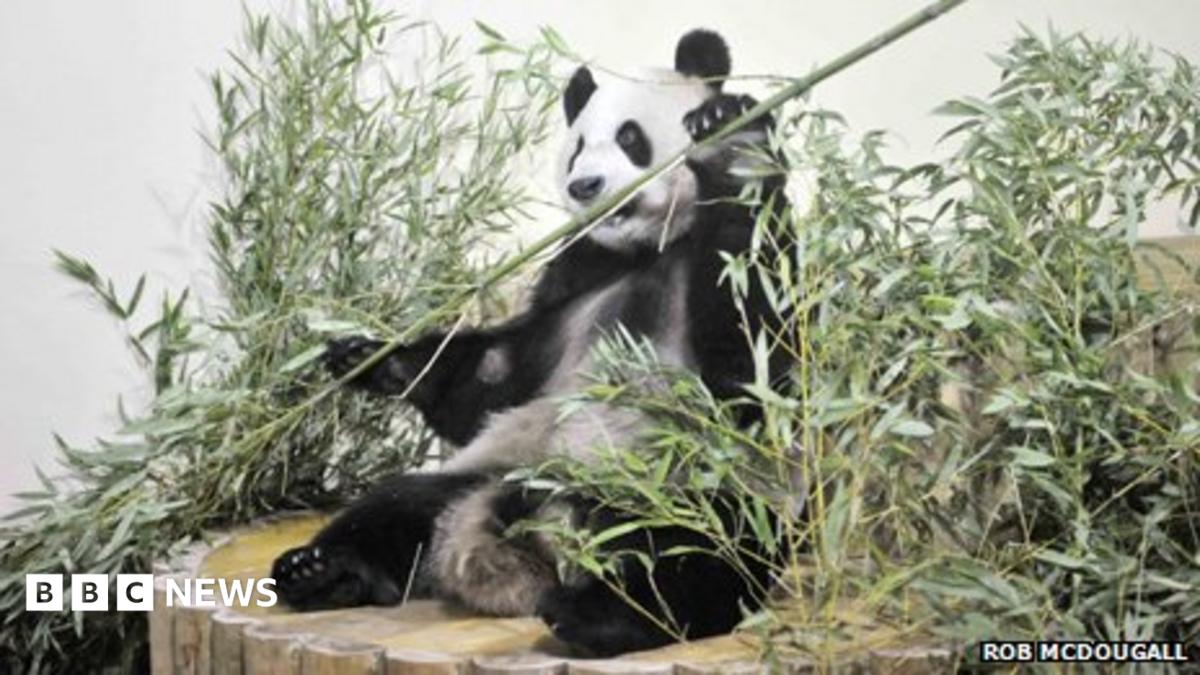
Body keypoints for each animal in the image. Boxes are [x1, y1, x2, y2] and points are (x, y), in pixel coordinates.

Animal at [271, 28, 791, 656]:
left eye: (630, 137)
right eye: (578, 146)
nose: (584, 186)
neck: (648, 248)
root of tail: (546, 521)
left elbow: (752, 357)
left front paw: (731, 140)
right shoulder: (574, 280)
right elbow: (492, 380)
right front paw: (371, 358)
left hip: (688, 487)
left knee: (696, 550)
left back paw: (601, 615)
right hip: (493, 468)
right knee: (396, 503)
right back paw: (323, 571)